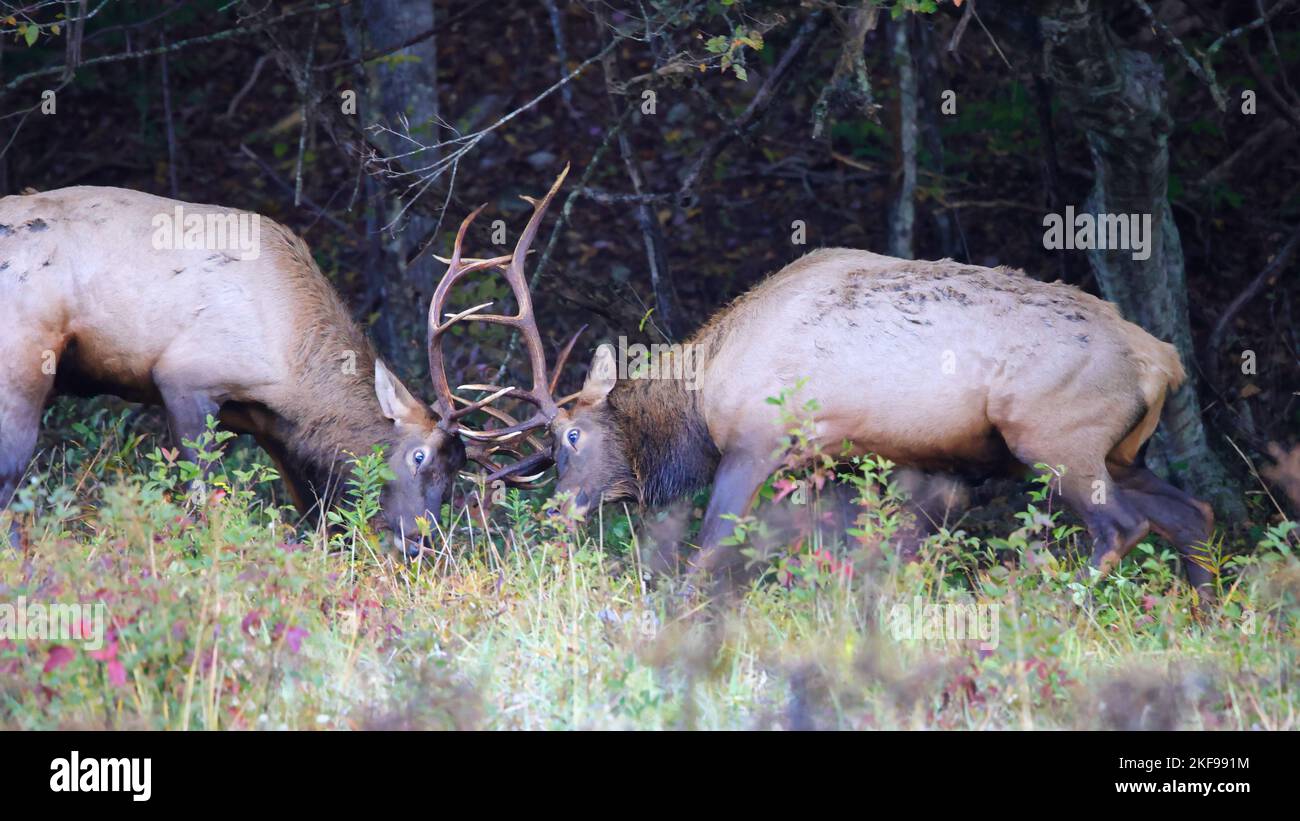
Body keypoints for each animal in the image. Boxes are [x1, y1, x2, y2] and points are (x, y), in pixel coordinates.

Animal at [0, 184, 566, 555]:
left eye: (454, 479)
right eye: (419, 456)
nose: (416, 544)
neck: (290, 372)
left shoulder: (268, 426)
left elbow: (313, 513)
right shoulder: (183, 378)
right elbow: (203, 498)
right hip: (25, 361)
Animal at [458, 170, 1218, 602]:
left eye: (571, 436)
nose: (558, 512)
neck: (699, 403)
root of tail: (1165, 359)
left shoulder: (756, 443)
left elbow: (711, 546)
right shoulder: (855, 460)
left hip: (1057, 437)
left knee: (1122, 527)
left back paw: (1048, 608)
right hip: (1122, 449)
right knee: (1193, 514)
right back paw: (1205, 617)